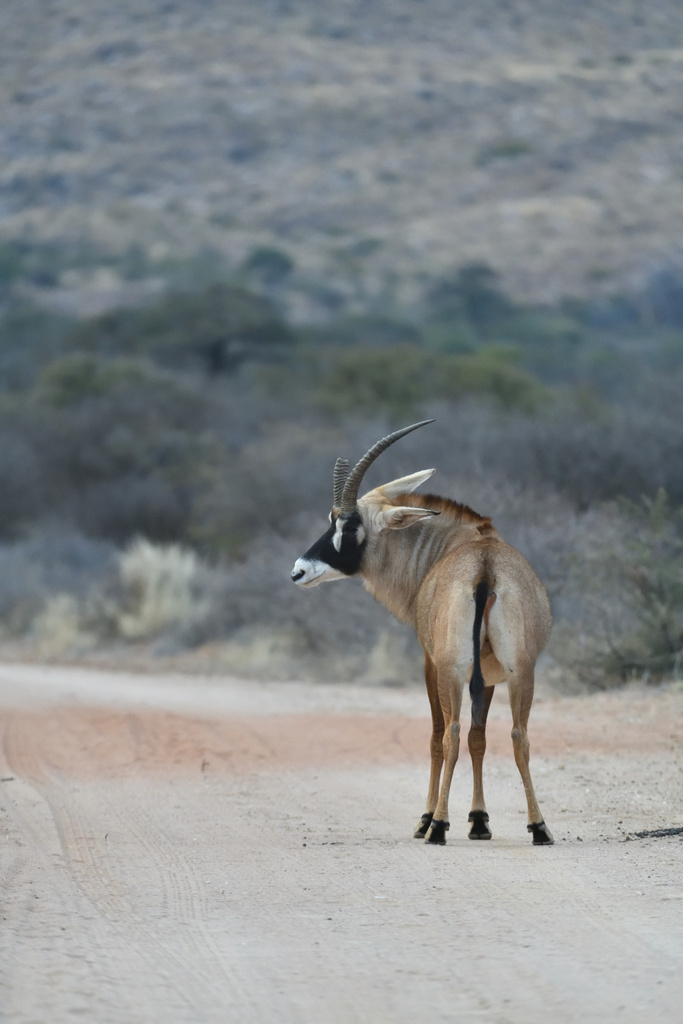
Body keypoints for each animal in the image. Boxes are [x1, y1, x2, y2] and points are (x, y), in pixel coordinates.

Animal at [291, 420, 554, 846]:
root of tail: (484, 567)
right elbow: (480, 738)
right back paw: (539, 826)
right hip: (520, 671)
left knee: (449, 734)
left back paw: (438, 827)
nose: (299, 571)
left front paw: (428, 819)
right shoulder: (488, 675)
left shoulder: (430, 664)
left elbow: (437, 737)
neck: (457, 542)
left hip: (451, 670)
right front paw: (479, 821)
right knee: (518, 735)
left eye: (349, 524)